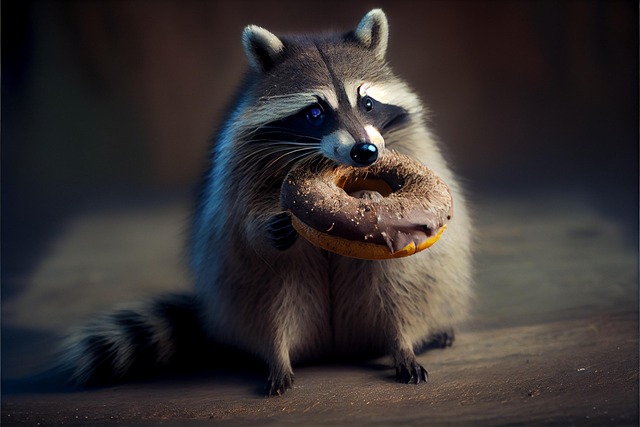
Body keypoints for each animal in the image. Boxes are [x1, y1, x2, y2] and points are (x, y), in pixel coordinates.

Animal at [61, 9, 472, 396]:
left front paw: (370, 194)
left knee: (402, 292)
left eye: (368, 103)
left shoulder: (409, 145)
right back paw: (278, 355)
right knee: (274, 304)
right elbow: (242, 220)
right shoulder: (242, 166)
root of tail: (337, 345)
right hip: (245, 287)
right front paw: (268, 224)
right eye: (315, 113)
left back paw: (406, 342)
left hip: (418, 287)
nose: (365, 152)